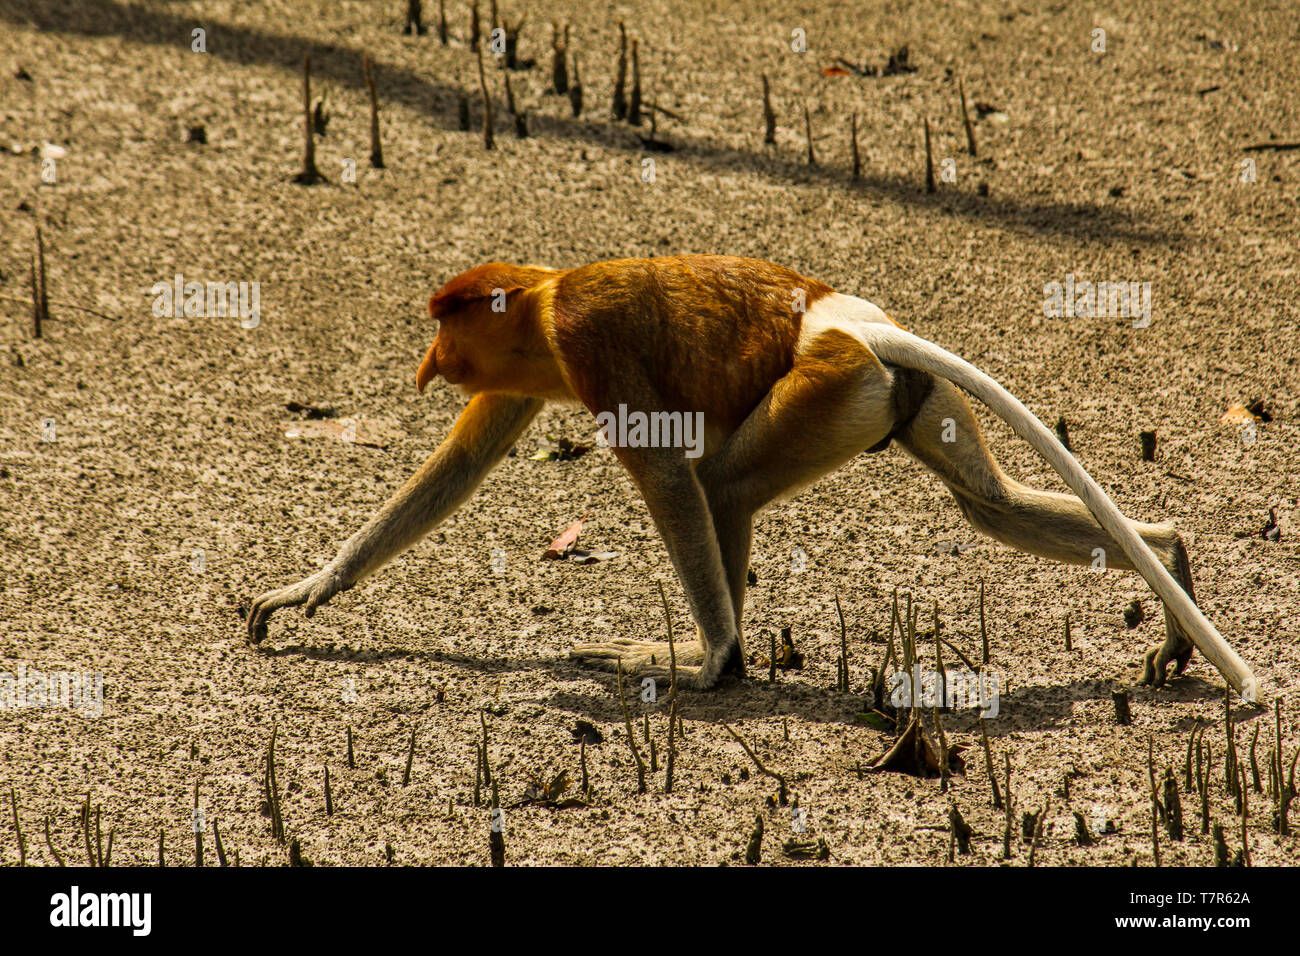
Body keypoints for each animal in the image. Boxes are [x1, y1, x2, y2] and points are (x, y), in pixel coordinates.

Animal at [246, 255, 1256, 701]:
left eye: (446, 321)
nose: (427, 362)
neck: (541, 296)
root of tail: (848, 324)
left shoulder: (588, 347)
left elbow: (664, 473)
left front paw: (700, 664)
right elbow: (458, 466)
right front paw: (308, 590)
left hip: (823, 395)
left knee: (721, 489)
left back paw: (712, 663)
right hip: (897, 397)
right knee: (992, 506)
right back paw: (1172, 561)